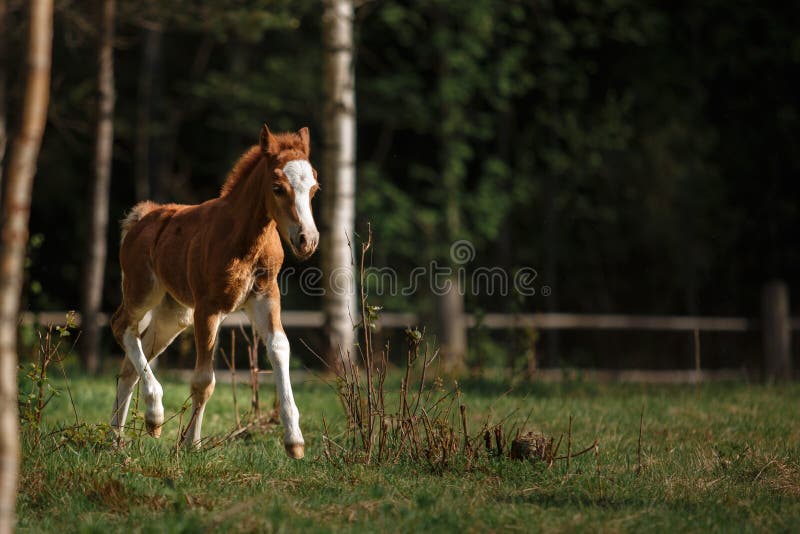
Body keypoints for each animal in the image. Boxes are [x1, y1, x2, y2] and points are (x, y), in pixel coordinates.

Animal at [109, 124, 319, 459]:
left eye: (314, 188)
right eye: (277, 187)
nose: (307, 240)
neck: (245, 239)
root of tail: (143, 217)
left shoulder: (266, 298)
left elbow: (279, 348)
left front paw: (294, 440)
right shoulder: (208, 309)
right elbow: (204, 381)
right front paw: (191, 445)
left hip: (173, 315)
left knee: (129, 365)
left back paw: (116, 440)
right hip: (142, 290)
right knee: (121, 326)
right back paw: (153, 416)